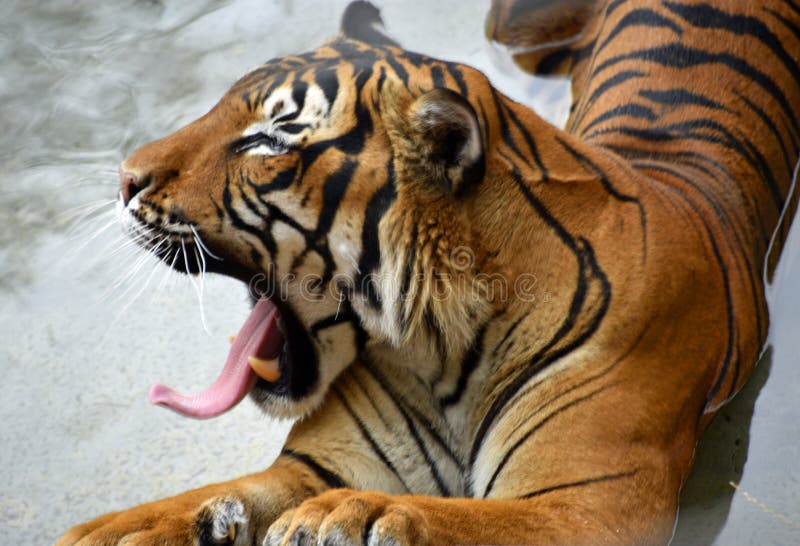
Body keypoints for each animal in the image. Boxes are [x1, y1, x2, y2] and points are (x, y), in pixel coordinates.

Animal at [57, 0, 800, 544]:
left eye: (267, 141)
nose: (123, 179)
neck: (440, 348)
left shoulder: (585, 504)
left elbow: (469, 521)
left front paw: (353, 516)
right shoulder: (317, 464)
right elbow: (216, 493)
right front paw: (117, 530)